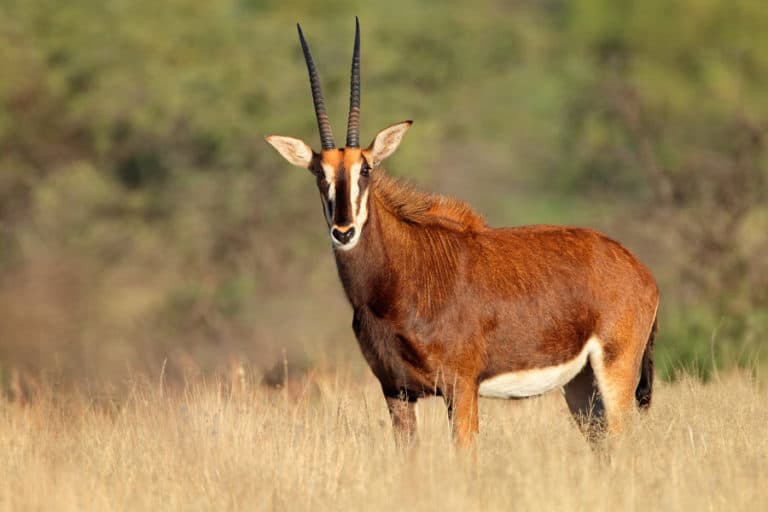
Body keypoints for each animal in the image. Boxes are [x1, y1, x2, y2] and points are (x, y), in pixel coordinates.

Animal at [265, 19, 659, 446]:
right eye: (318, 173)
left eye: (366, 169)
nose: (343, 231)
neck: (399, 279)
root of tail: (639, 269)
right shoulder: (396, 390)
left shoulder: (461, 386)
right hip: (580, 384)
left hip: (615, 371)